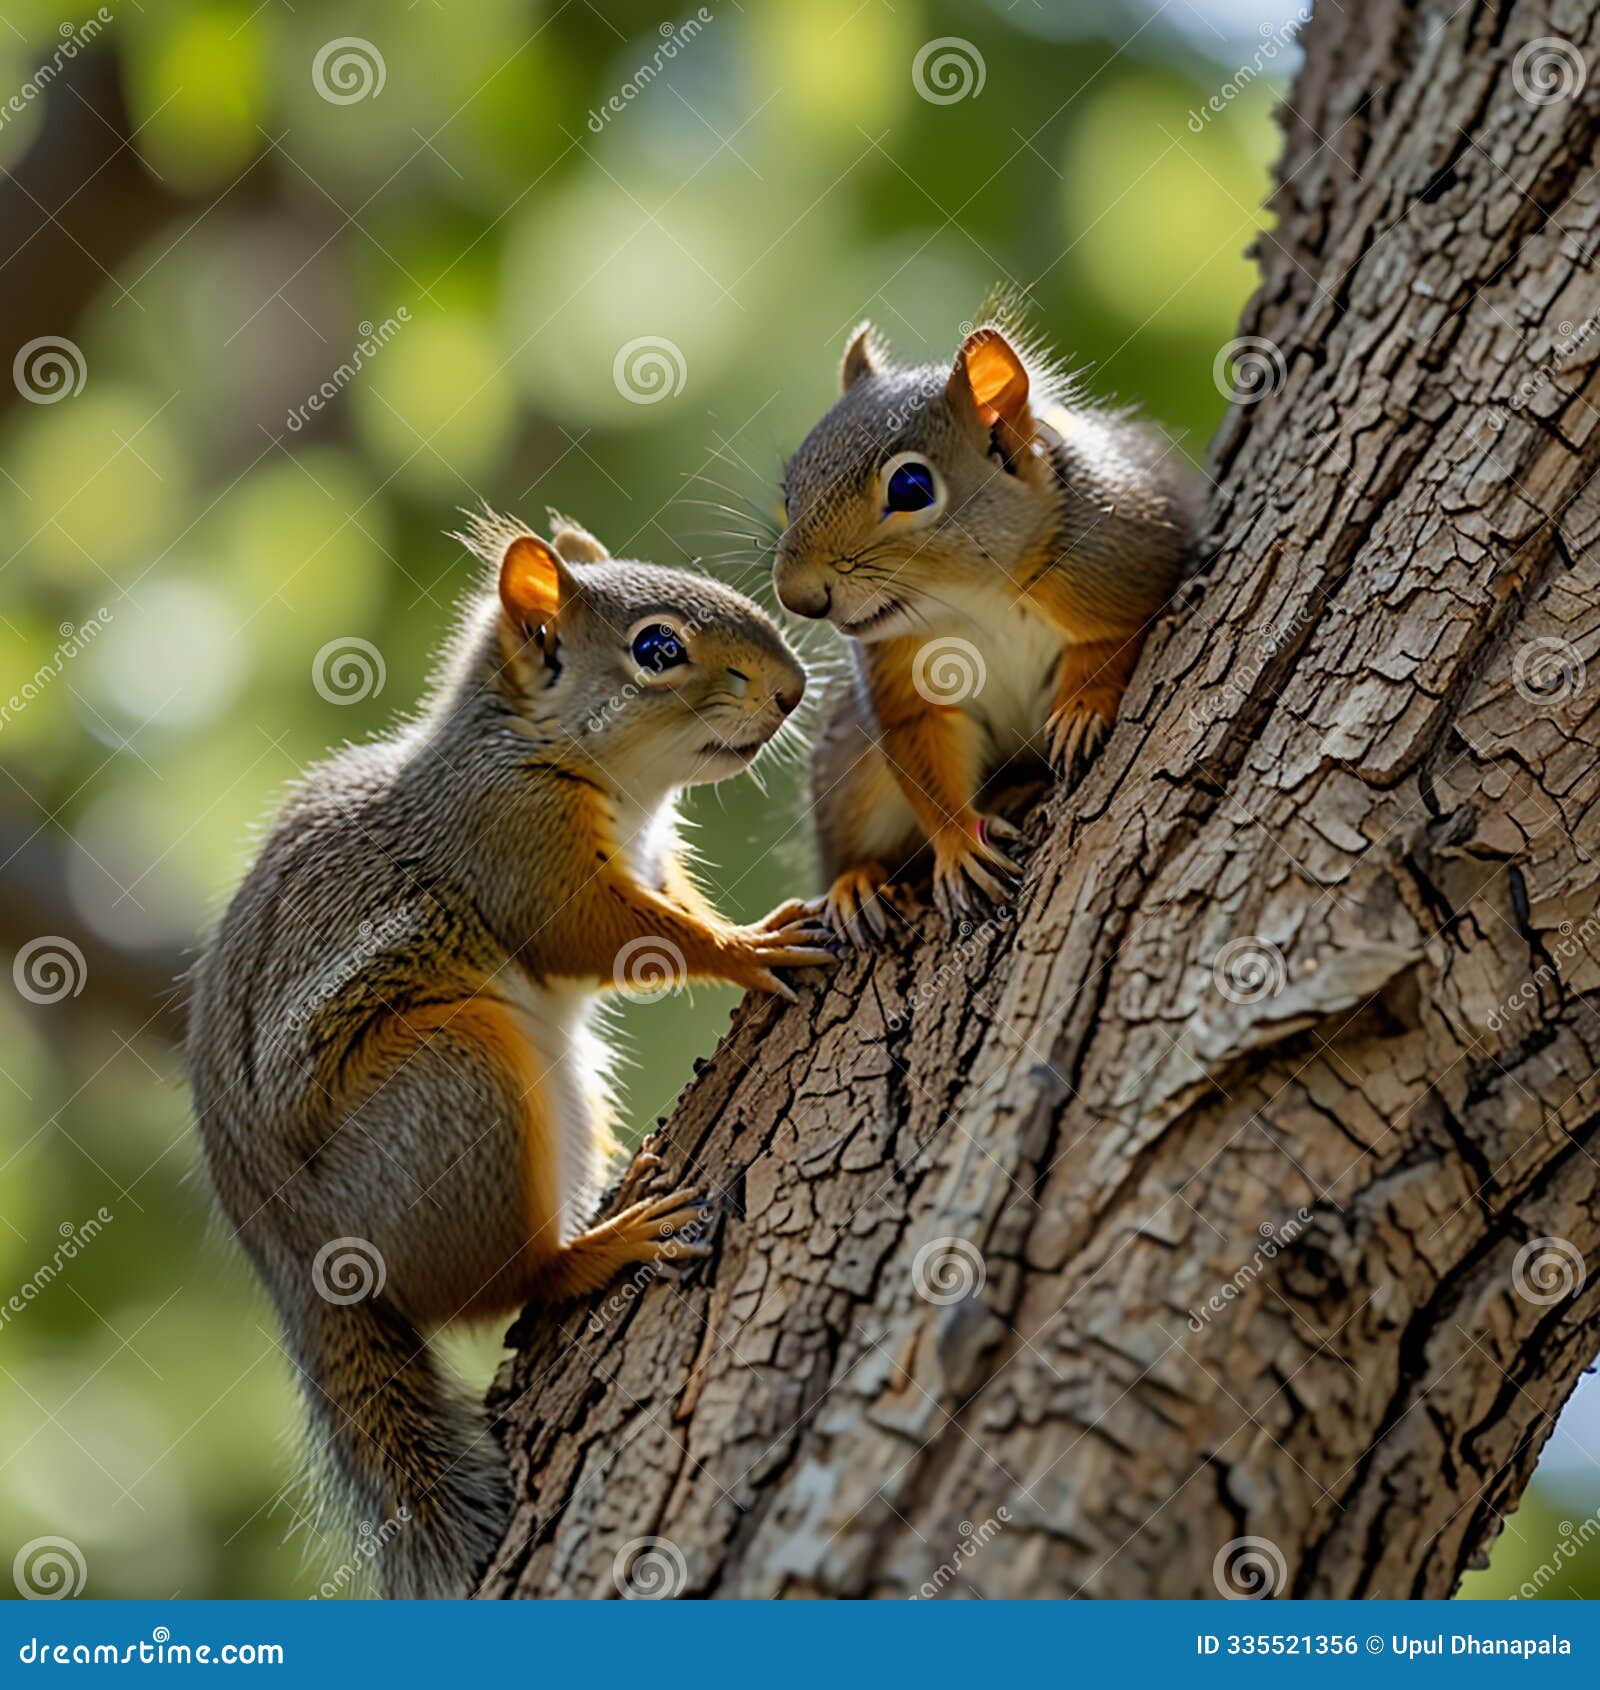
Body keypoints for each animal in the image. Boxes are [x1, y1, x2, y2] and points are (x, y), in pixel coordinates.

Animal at [186, 508, 832, 1598]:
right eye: (657, 649)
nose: (788, 688)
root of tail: (296, 1257)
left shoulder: (648, 857)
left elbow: (669, 904)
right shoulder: (518, 845)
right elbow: (610, 937)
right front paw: (746, 945)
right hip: (459, 1080)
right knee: (510, 1283)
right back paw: (597, 1248)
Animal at [773, 312, 1202, 941]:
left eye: (911, 488)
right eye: (791, 488)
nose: (797, 596)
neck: (975, 601)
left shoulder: (1125, 561)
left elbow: (1113, 639)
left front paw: (1081, 708)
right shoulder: (901, 675)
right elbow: (921, 752)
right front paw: (959, 846)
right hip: (852, 775)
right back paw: (855, 884)